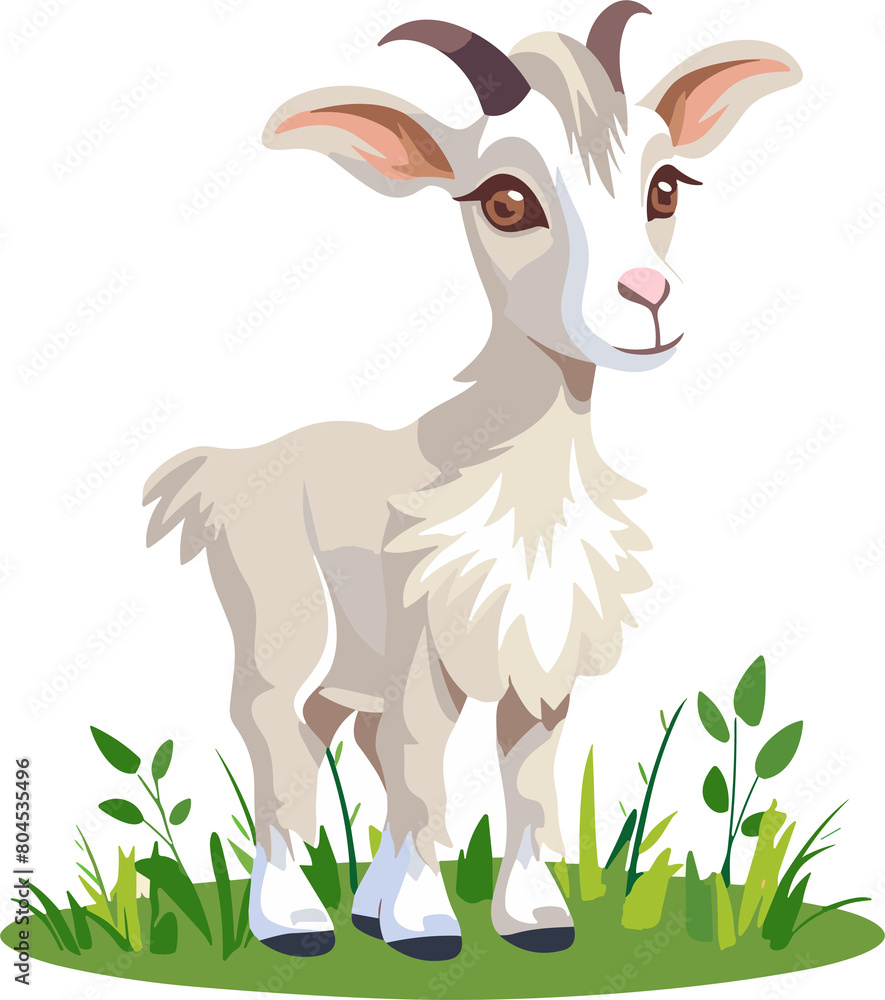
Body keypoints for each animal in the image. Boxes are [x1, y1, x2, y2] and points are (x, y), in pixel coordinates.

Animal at [144, 2, 800, 962]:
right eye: (504, 200)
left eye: (665, 185)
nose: (647, 296)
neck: (507, 466)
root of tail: (224, 467)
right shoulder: (428, 651)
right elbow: (424, 772)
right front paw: (426, 926)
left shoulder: (538, 660)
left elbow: (525, 785)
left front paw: (532, 921)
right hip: (281, 619)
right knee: (272, 731)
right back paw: (294, 919)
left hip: (355, 654)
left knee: (334, 726)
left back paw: (361, 907)